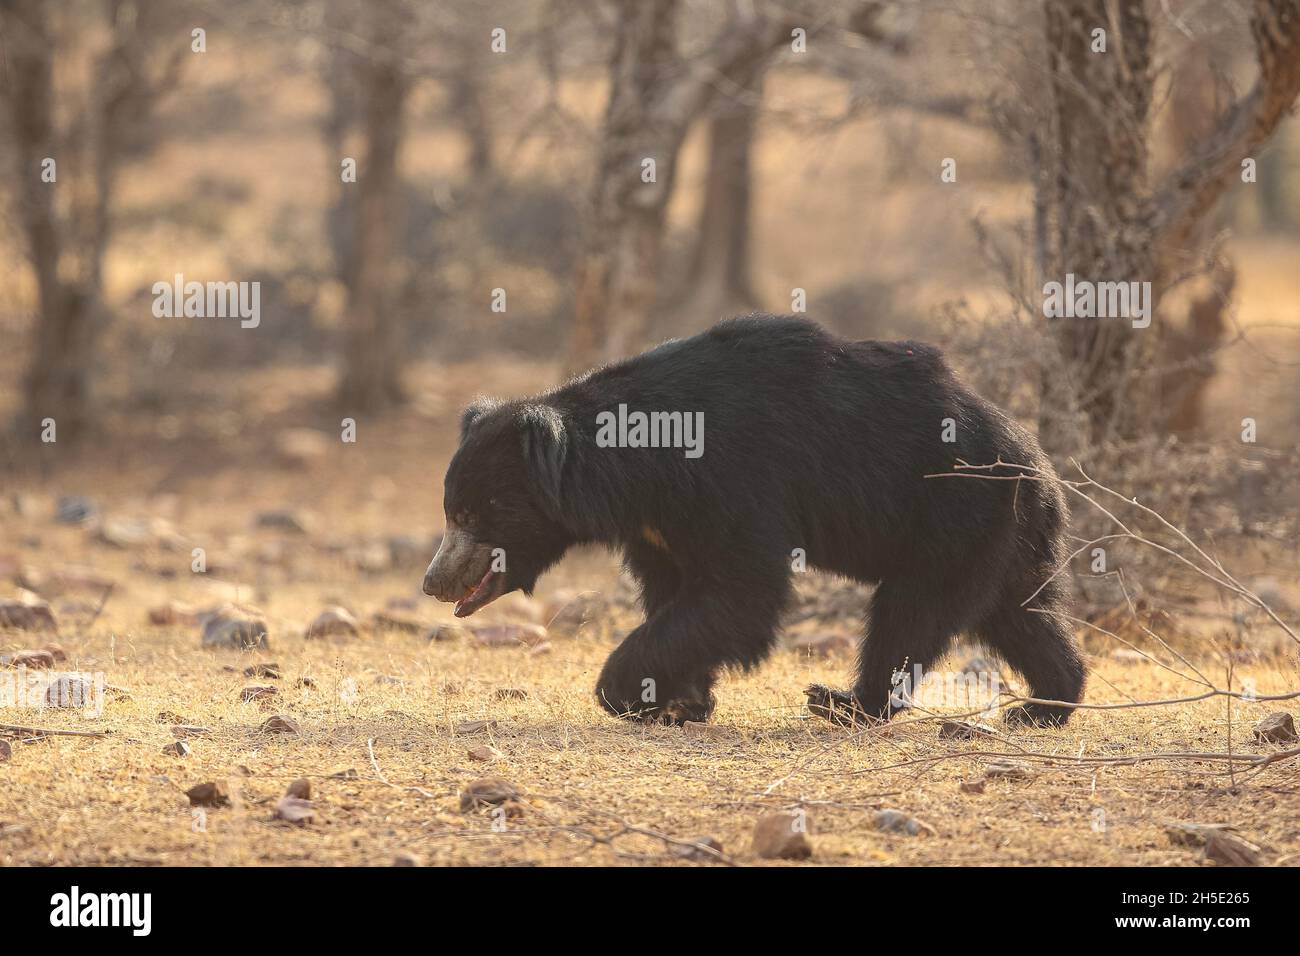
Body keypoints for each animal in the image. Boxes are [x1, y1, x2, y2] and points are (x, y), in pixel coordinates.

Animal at [422, 315, 1087, 727]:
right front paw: (681, 701)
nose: (434, 581)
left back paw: (844, 702)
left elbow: (742, 592)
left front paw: (628, 690)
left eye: (472, 514)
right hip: (1001, 536)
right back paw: (1046, 704)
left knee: (911, 612)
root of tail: (1039, 466)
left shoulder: (738, 477)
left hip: (951, 512)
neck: (638, 466)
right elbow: (681, 594)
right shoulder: (658, 523)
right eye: (451, 511)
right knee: (1018, 613)